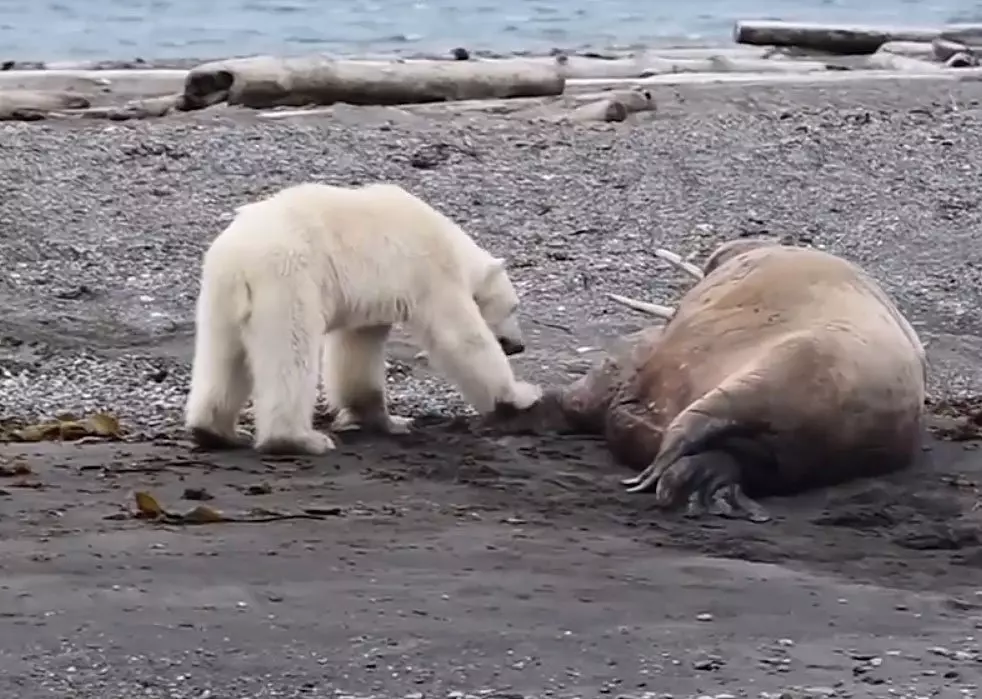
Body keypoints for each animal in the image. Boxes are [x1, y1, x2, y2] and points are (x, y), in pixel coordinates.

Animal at [181, 180, 540, 456]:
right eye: (514, 307)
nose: (518, 345)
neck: (450, 242)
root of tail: (240, 256)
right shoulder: (430, 274)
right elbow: (461, 337)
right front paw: (522, 394)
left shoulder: (373, 299)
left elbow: (355, 352)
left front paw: (390, 421)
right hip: (289, 282)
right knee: (291, 354)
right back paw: (299, 439)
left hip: (220, 293)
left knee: (224, 355)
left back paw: (216, 431)